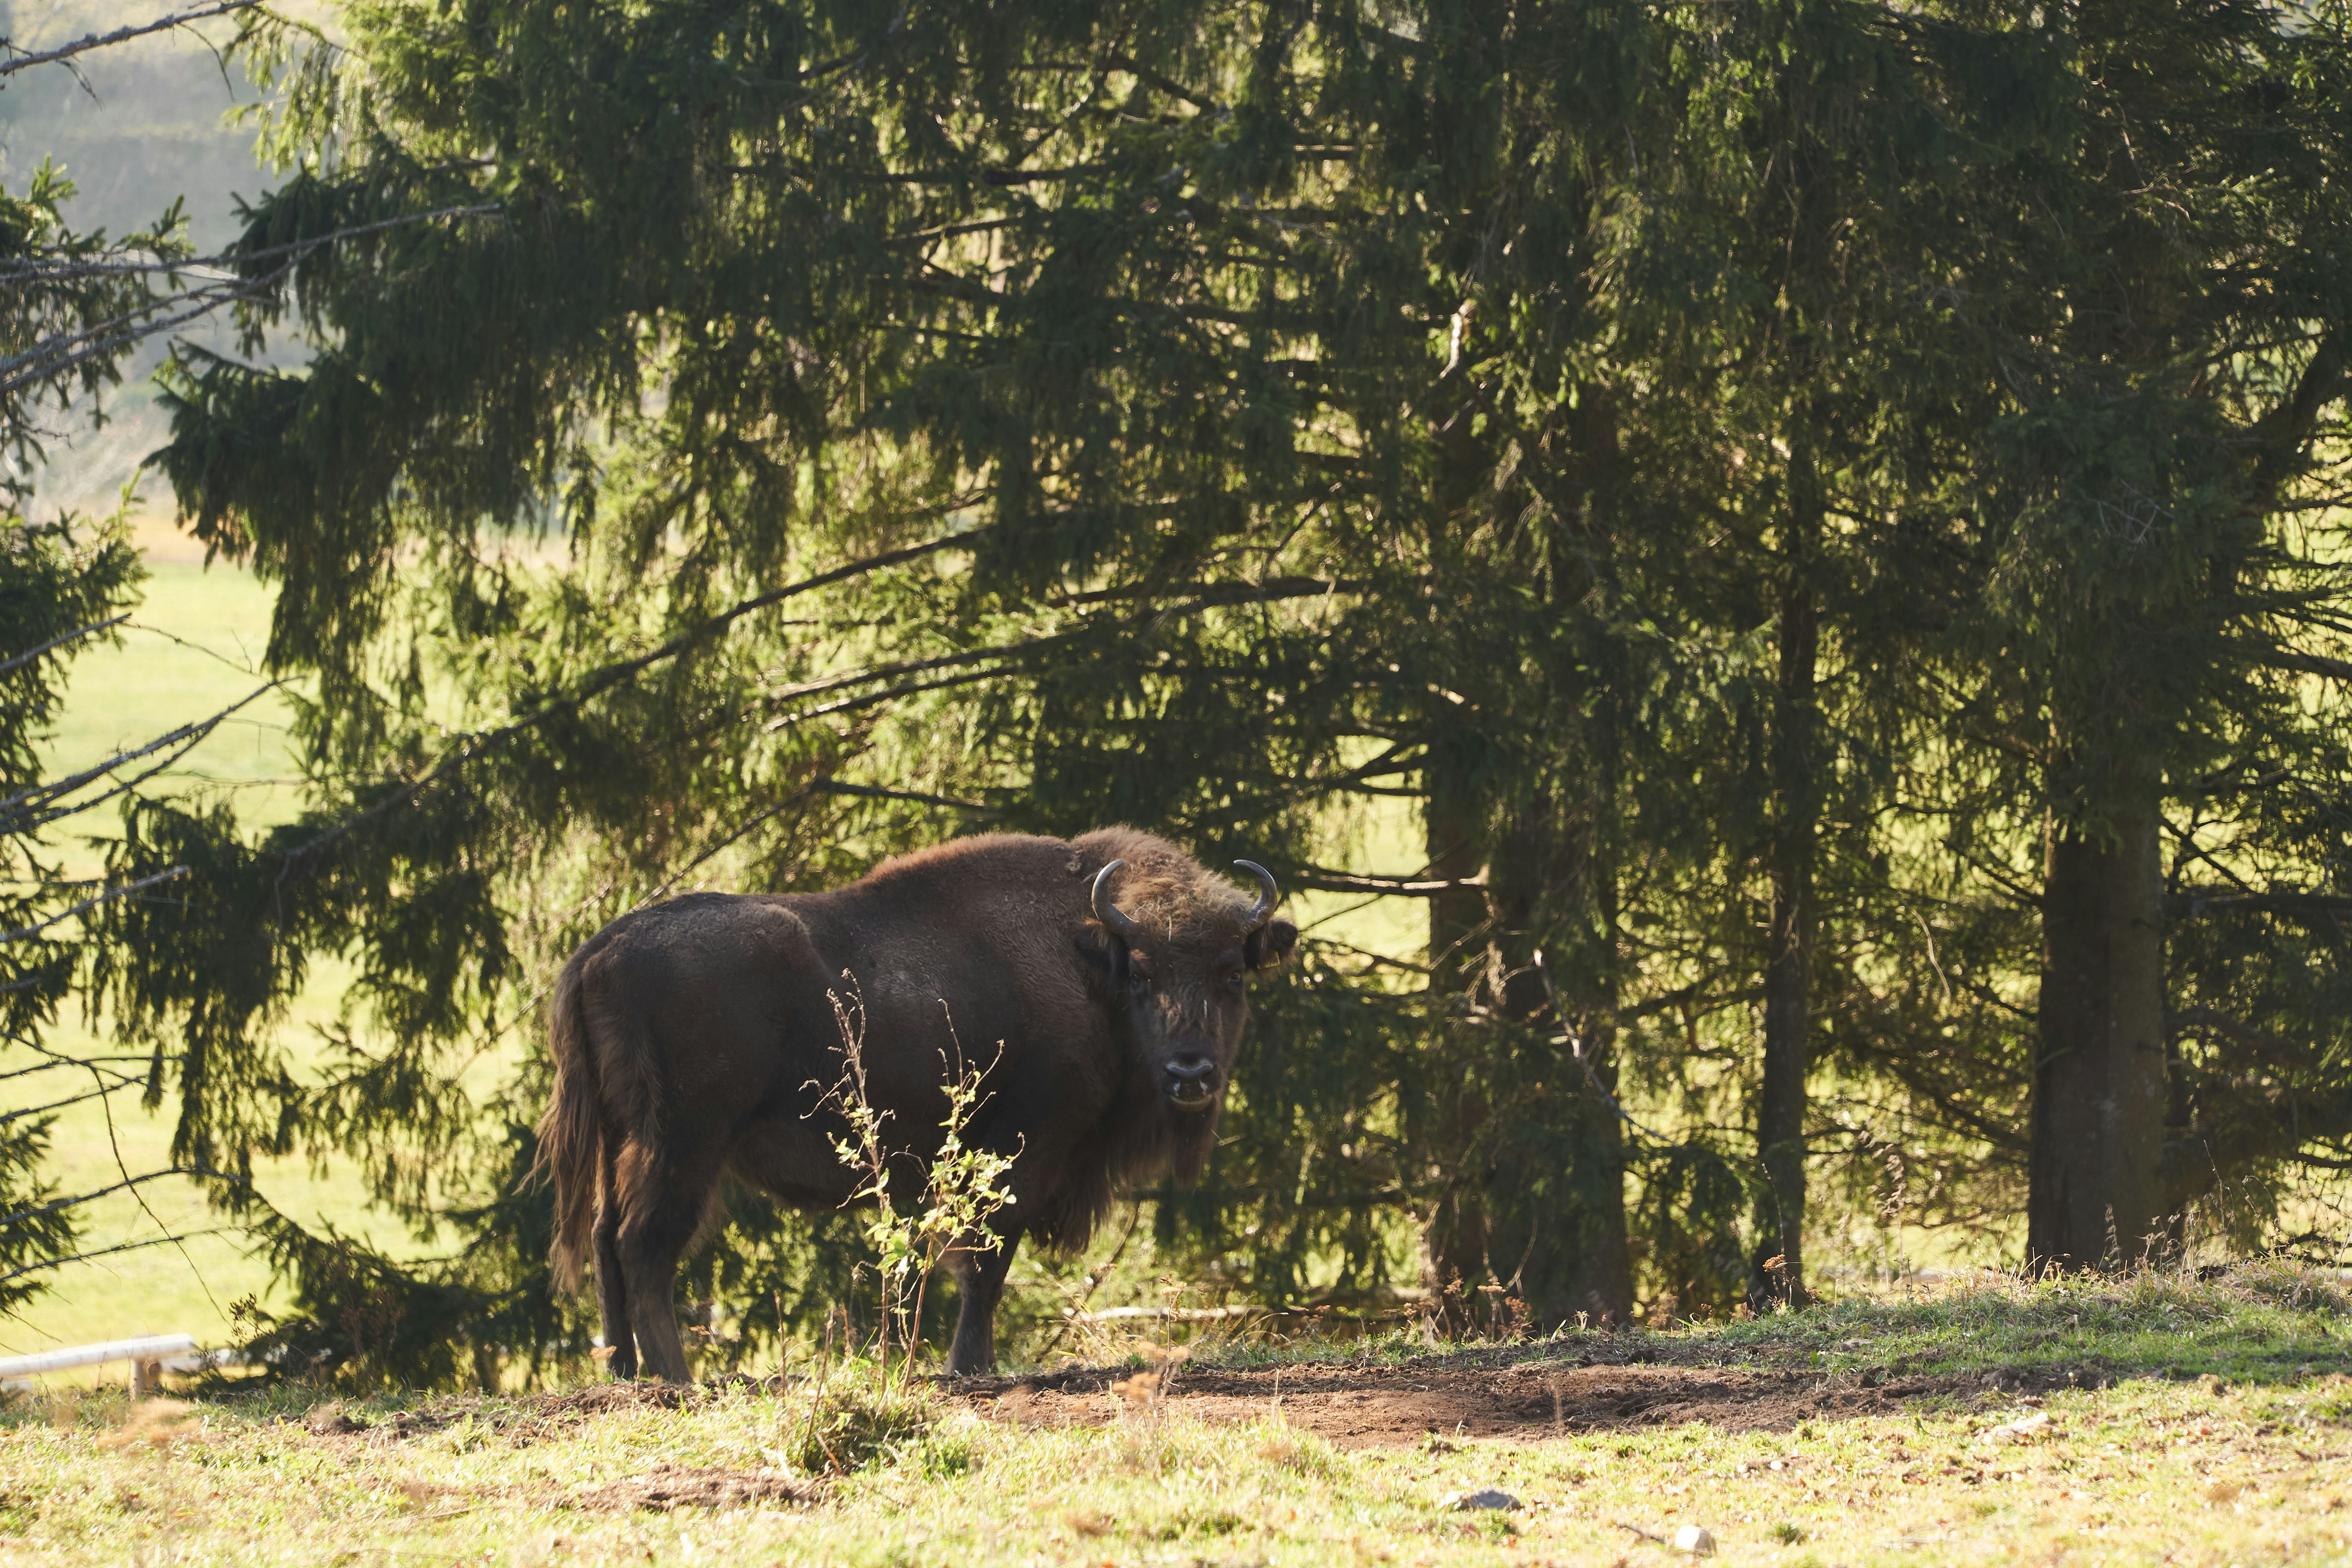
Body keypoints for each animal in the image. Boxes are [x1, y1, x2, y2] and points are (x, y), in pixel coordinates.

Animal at [535, 827, 1297, 1380]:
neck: (1086, 958)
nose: (1190, 1071)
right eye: (1142, 972)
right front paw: (970, 1366)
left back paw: (623, 1370)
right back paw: (675, 1376)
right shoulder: (1019, 1150)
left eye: (1231, 973)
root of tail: (600, 949)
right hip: (683, 1145)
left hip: (619, 1139)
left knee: (605, 1240)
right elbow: (986, 1255)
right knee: (644, 1244)